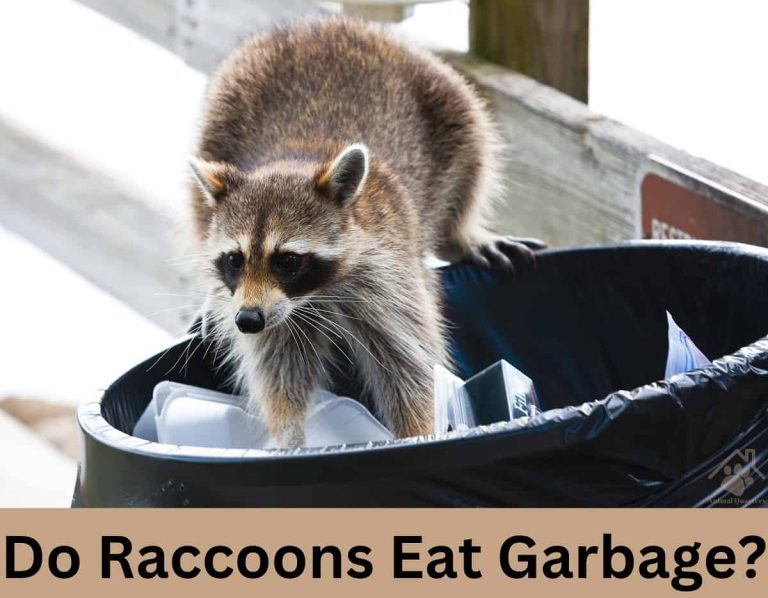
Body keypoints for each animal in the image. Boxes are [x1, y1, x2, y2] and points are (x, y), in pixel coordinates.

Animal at [189, 18, 543, 447]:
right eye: (234, 260)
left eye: (286, 260)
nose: (247, 320)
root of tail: (320, 24)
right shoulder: (271, 310)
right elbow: (278, 365)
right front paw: (289, 432)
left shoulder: (391, 275)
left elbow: (410, 363)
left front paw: (418, 432)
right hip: (219, 117)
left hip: (446, 99)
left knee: (472, 158)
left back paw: (462, 234)